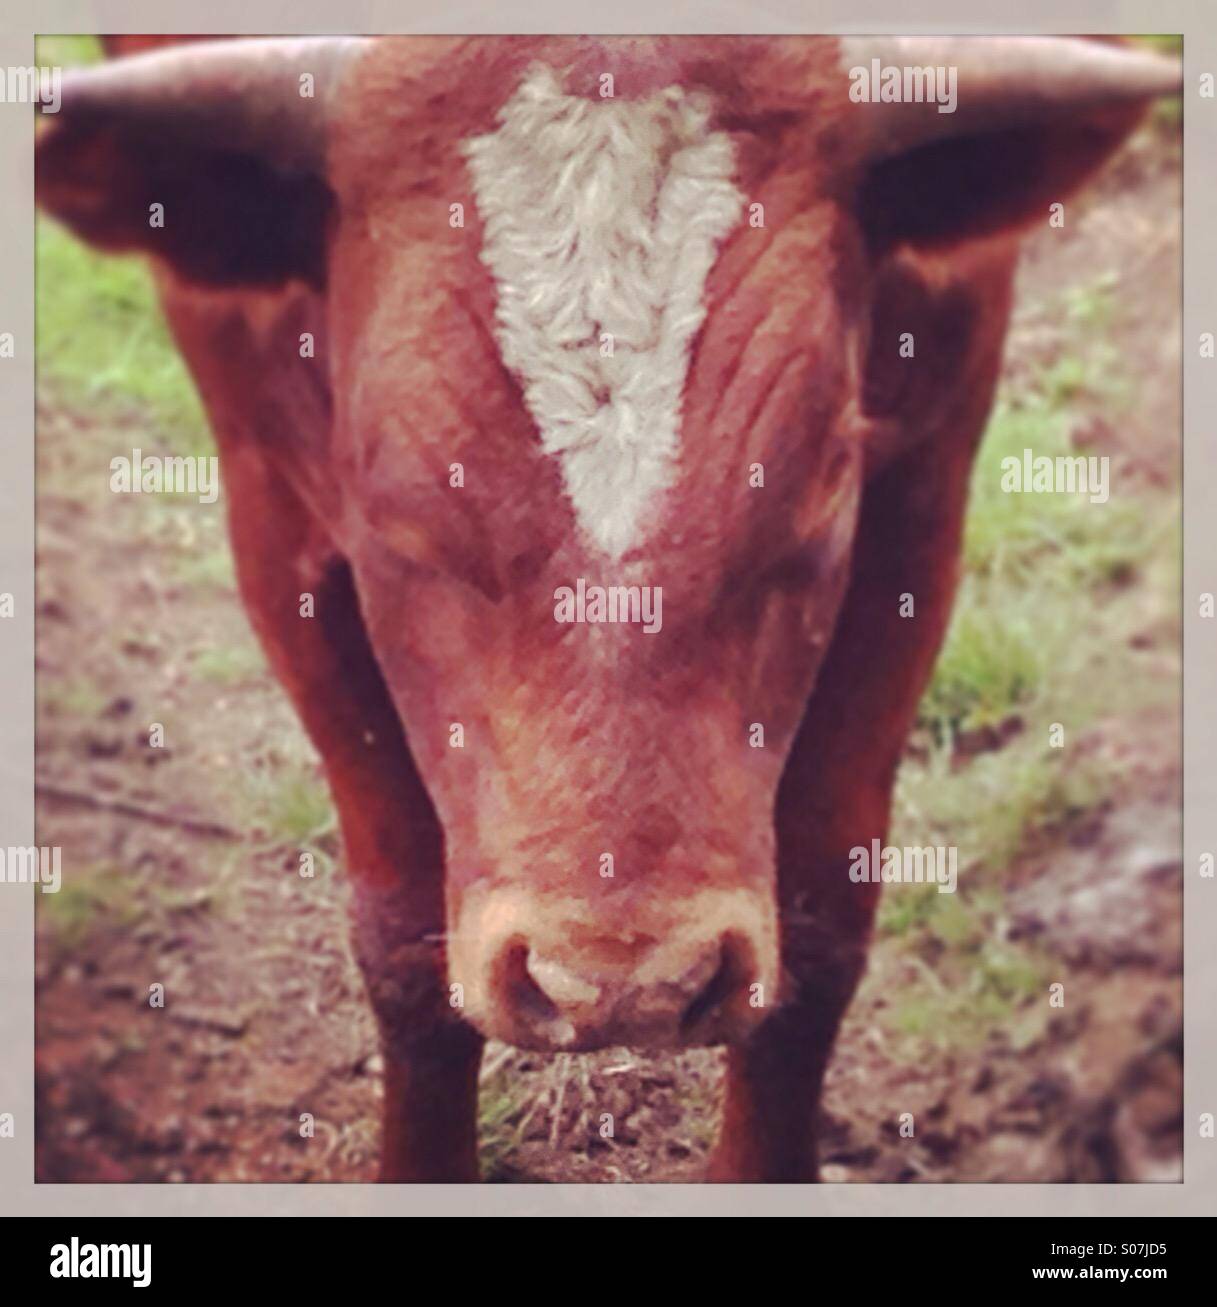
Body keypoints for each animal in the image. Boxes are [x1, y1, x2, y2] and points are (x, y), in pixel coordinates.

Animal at [36, 35, 1179, 1182]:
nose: (629, 983)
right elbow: (400, 936)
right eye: (396, 530)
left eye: (815, 503)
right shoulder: (269, 488)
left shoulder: (925, 472)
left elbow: (820, 919)